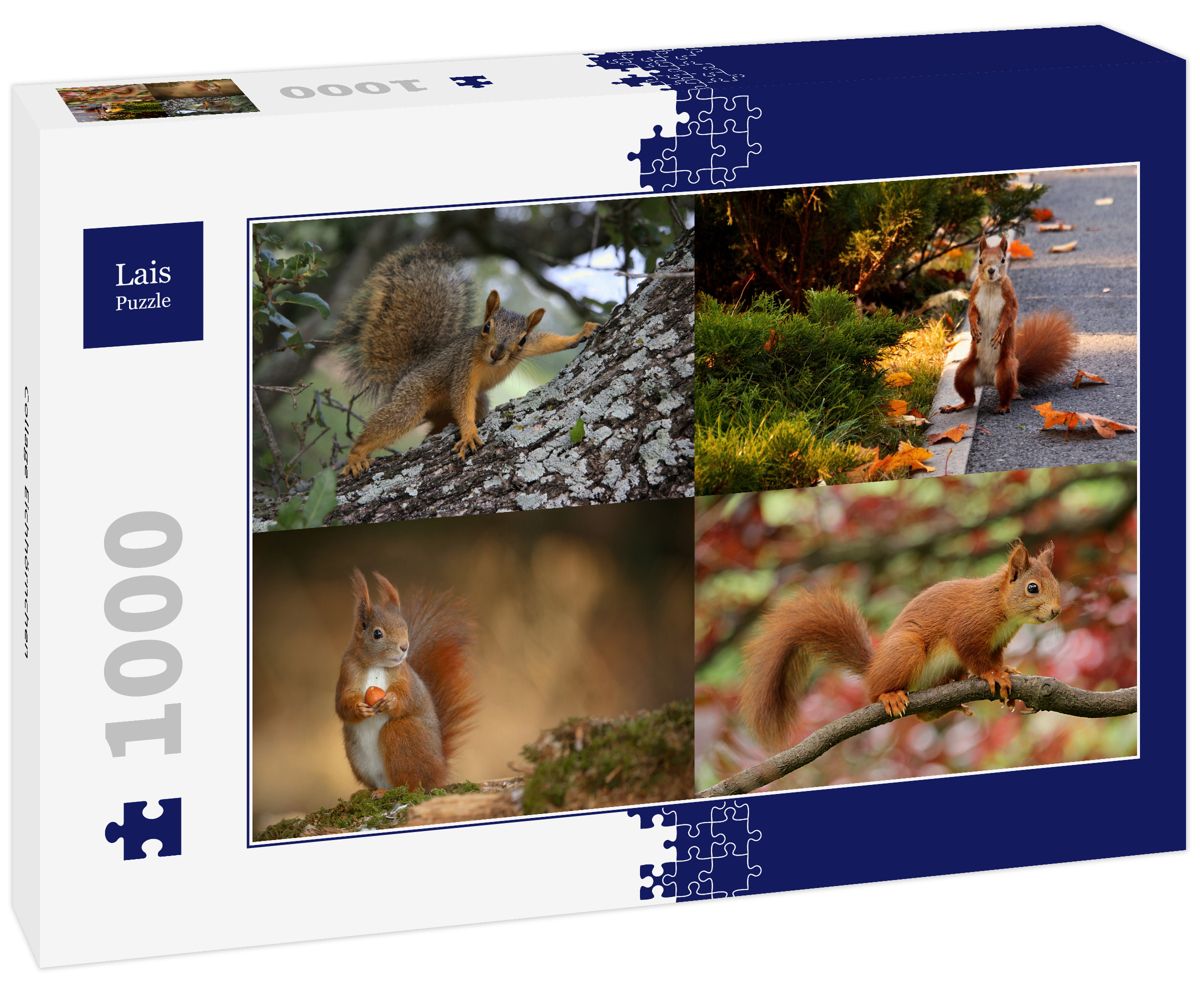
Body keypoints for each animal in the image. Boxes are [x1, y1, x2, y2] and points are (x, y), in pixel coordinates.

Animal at [334, 244, 599, 478]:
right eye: (486, 327)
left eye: (522, 340)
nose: (497, 353)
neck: (490, 362)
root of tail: (407, 374)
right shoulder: (464, 364)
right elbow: (462, 397)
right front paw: (470, 432)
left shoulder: (530, 346)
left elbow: (547, 341)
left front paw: (582, 333)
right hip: (413, 396)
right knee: (393, 420)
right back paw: (357, 455)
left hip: (471, 405)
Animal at [334, 569, 479, 791]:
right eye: (377, 633)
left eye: (405, 628)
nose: (404, 647)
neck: (376, 665)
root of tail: (440, 770)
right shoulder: (347, 672)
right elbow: (342, 704)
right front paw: (359, 709)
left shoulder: (405, 677)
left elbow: (407, 697)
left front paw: (392, 701)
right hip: (356, 752)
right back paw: (374, 791)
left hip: (402, 734)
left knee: (412, 782)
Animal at [740, 541, 1061, 746]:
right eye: (1033, 588)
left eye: (1056, 584)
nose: (1056, 611)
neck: (1001, 605)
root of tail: (873, 668)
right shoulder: (968, 627)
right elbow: (975, 656)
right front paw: (993, 675)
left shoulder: (997, 643)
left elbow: (995, 658)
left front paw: (1007, 671)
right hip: (906, 649)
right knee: (876, 691)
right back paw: (889, 695)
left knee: (926, 714)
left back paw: (952, 703)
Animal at [940, 235, 1077, 414]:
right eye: (980, 260)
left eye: (1003, 260)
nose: (991, 270)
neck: (991, 286)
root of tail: (988, 379)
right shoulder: (973, 297)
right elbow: (971, 313)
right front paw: (974, 328)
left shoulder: (1011, 300)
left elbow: (1008, 317)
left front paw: (999, 332)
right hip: (963, 372)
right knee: (969, 398)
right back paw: (957, 406)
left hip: (1005, 371)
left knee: (1006, 393)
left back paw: (1002, 407)